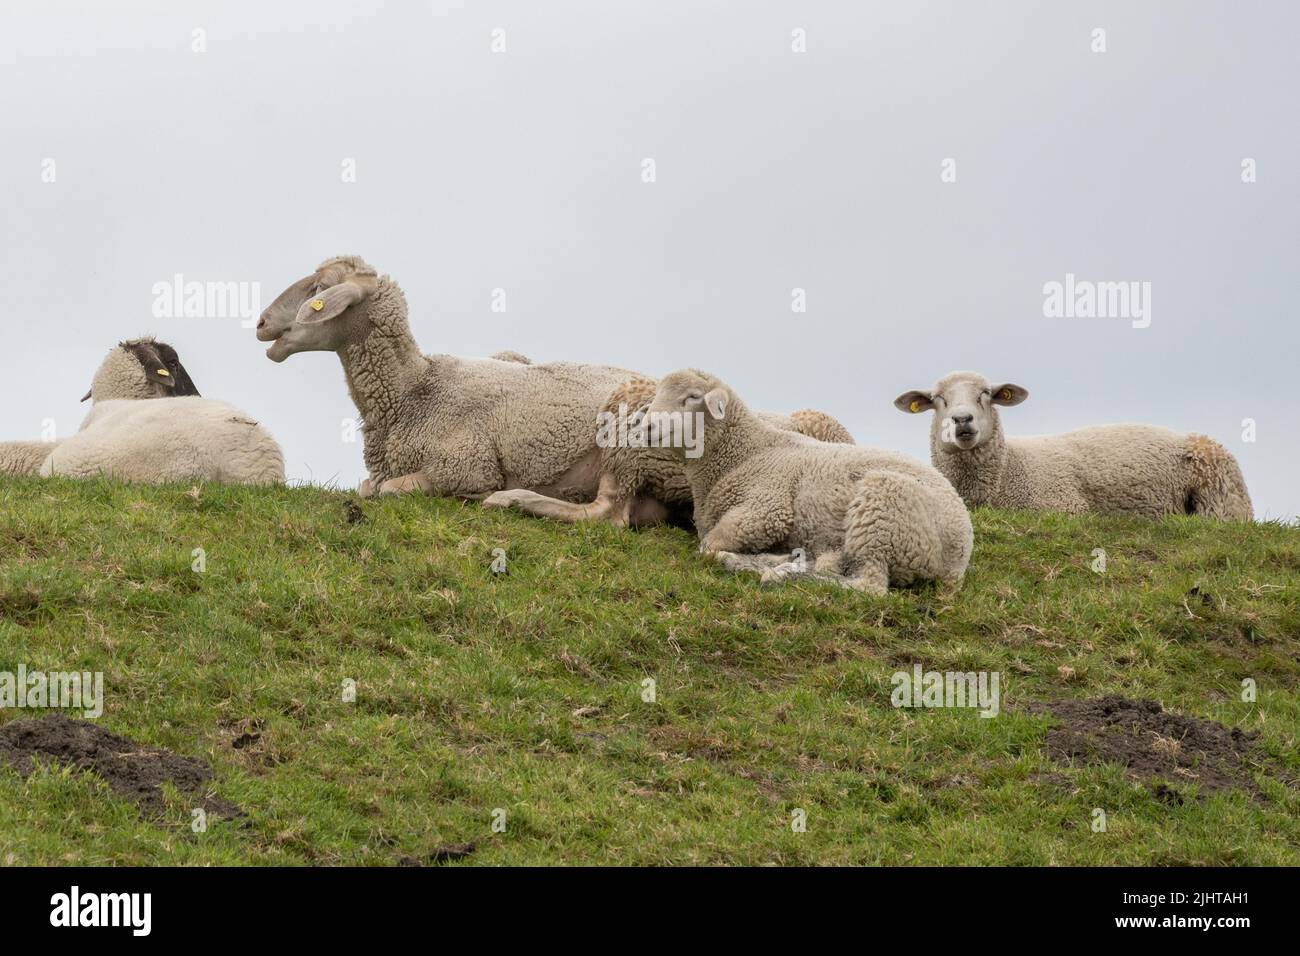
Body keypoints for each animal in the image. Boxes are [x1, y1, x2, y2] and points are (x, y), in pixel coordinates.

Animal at [256, 255, 644, 501]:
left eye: (319, 287)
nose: (261, 323)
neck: (413, 392)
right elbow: (368, 487)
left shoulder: (467, 464)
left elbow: (388, 490)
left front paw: (482, 495)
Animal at [642, 369, 974, 594]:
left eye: (692, 397)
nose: (646, 426)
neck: (745, 452)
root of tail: (959, 558)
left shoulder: (766, 510)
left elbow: (707, 548)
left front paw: (754, 560)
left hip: (882, 514)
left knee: (870, 585)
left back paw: (784, 573)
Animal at [893, 370, 1253, 520]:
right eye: (938, 399)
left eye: (985, 394)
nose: (962, 419)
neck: (1009, 470)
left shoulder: (1065, 507)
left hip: (1222, 499)